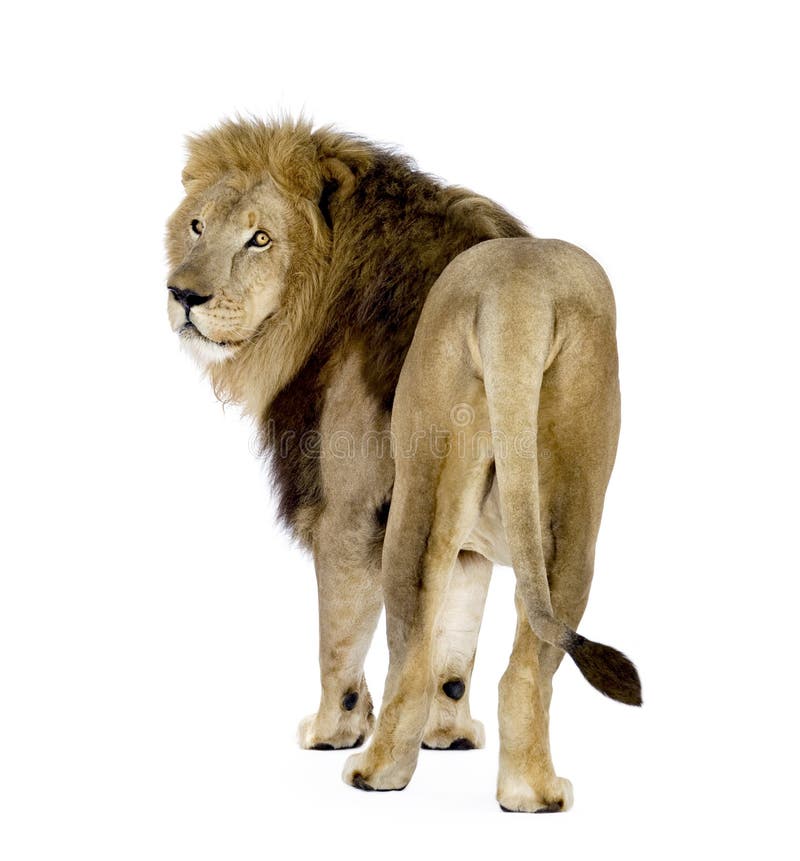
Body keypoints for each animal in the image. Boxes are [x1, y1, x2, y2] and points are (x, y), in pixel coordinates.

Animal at [165, 117, 641, 812]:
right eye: (198, 226)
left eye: (260, 238)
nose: (182, 295)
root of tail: (518, 295)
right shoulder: (470, 550)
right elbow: (455, 653)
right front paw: (449, 736)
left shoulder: (348, 513)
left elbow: (340, 640)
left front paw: (334, 730)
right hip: (568, 514)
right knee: (526, 668)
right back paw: (533, 793)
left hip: (417, 497)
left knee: (408, 658)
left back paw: (375, 770)